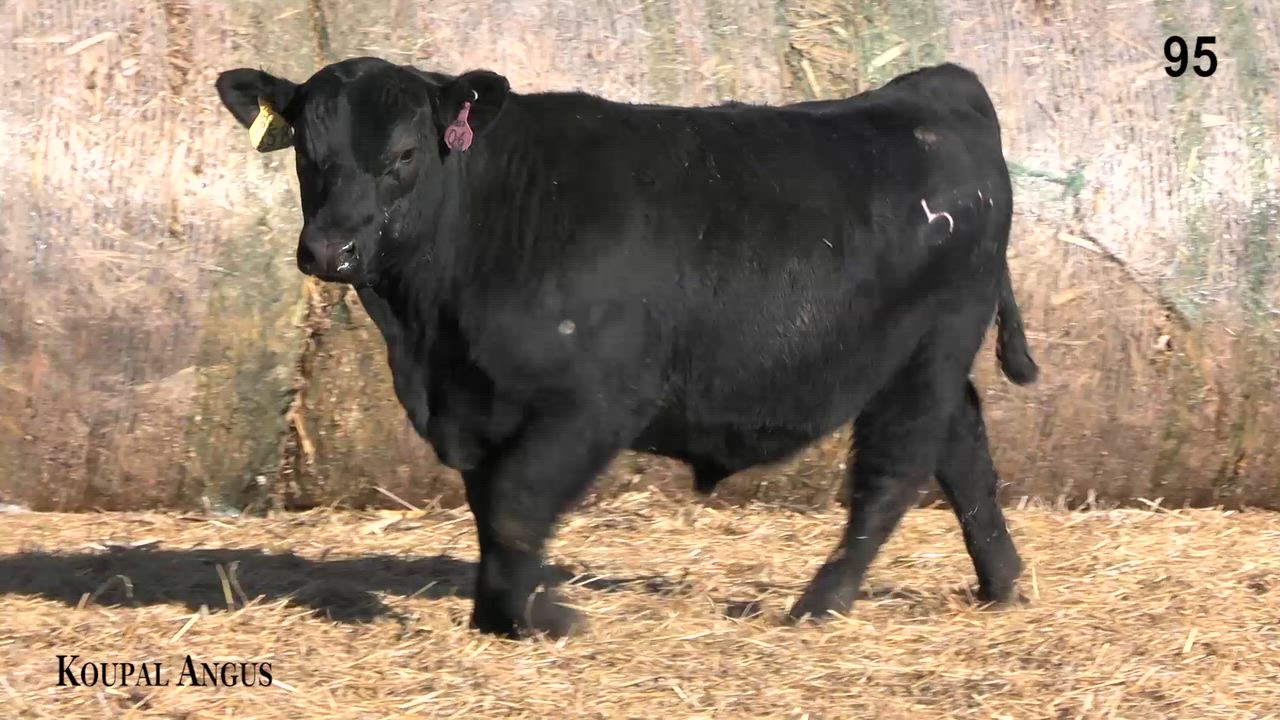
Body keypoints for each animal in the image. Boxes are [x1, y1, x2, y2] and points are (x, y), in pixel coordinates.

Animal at [215, 57, 1039, 639]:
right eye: (306, 151)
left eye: (407, 153)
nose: (331, 250)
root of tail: (934, 89)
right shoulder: (482, 406)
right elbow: (492, 511)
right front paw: (499, 612)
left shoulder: (595, 401)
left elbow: (513, 507)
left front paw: (539, 616)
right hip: (921, 360)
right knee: (964, 451)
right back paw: (1002, 585)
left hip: (927, 351)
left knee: (895, 472)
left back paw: (822, 602)